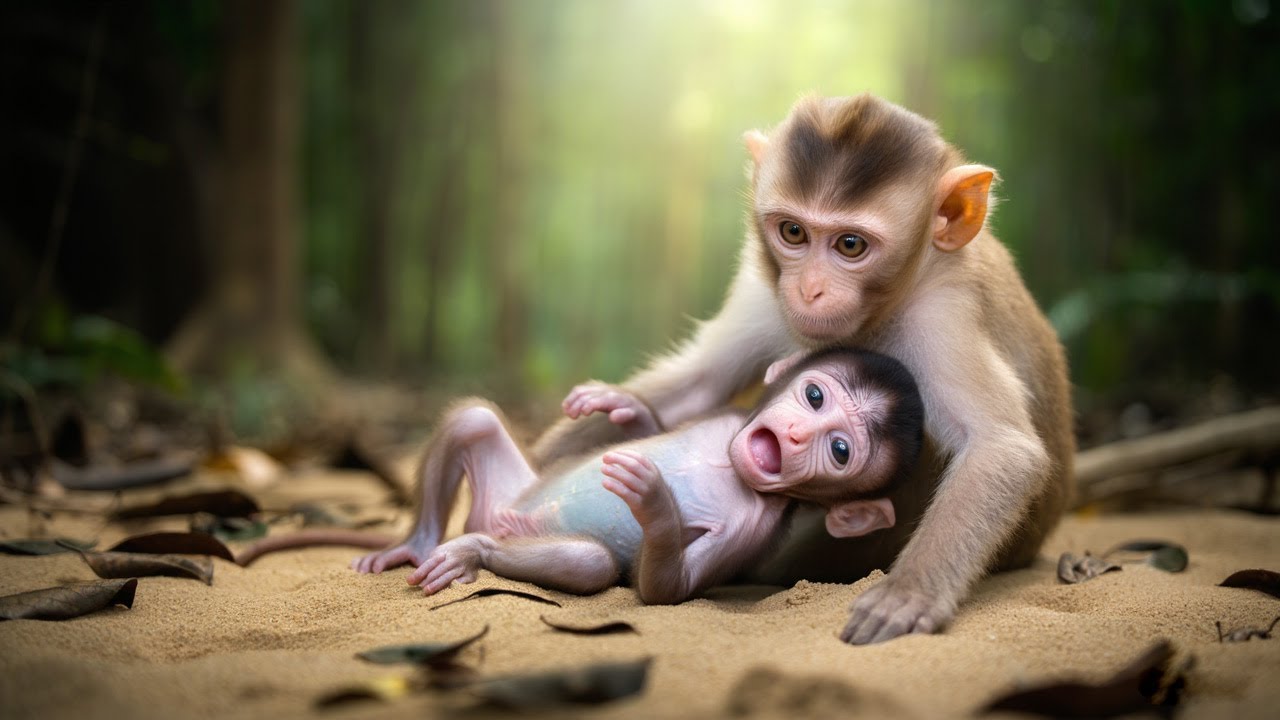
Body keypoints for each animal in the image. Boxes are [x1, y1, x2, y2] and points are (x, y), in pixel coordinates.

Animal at [352, 349, 925, 604]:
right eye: (814, 396)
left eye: (840, 449)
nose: (799, 434)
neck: (731, 465)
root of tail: (493, 517)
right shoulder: (729, 422)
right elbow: (650, 426)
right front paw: (621, 406)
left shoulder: (751, 530)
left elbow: (667, 589)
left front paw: (654, 500)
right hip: (507, 490)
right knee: (473, 420)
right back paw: (413, 546)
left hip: (516, 528)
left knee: (590, 563)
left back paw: (472, 551)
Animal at [529, 93, 1075, 643]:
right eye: (793, 232)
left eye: (851, 245)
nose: (809, 290)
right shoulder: (763, 286)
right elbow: (704, 379)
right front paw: (623, 405)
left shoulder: (941, 314)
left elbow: (1002, 447)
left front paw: (910, 592)